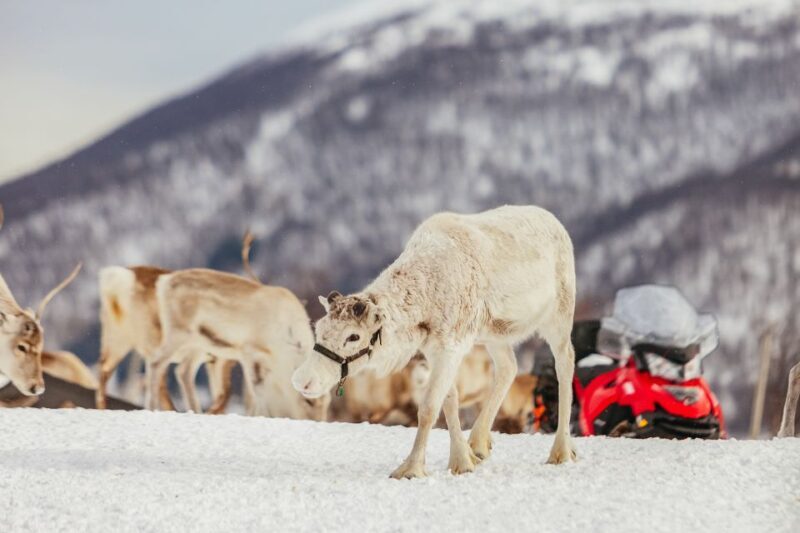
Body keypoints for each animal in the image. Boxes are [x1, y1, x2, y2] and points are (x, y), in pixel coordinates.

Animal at [292, 205, 577, 478]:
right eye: (319, 328)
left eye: (353, 336)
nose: (302, 381)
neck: (424, 298)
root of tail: (556, 223)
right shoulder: (434, 349)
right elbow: (450, 400)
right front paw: (462, 460)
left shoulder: (451, 347)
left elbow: (429, 407)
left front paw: (411, 468)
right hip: (494, 334)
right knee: (508, 368)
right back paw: (478, 444)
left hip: (559, 315)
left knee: (565, 364)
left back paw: (562, 451)